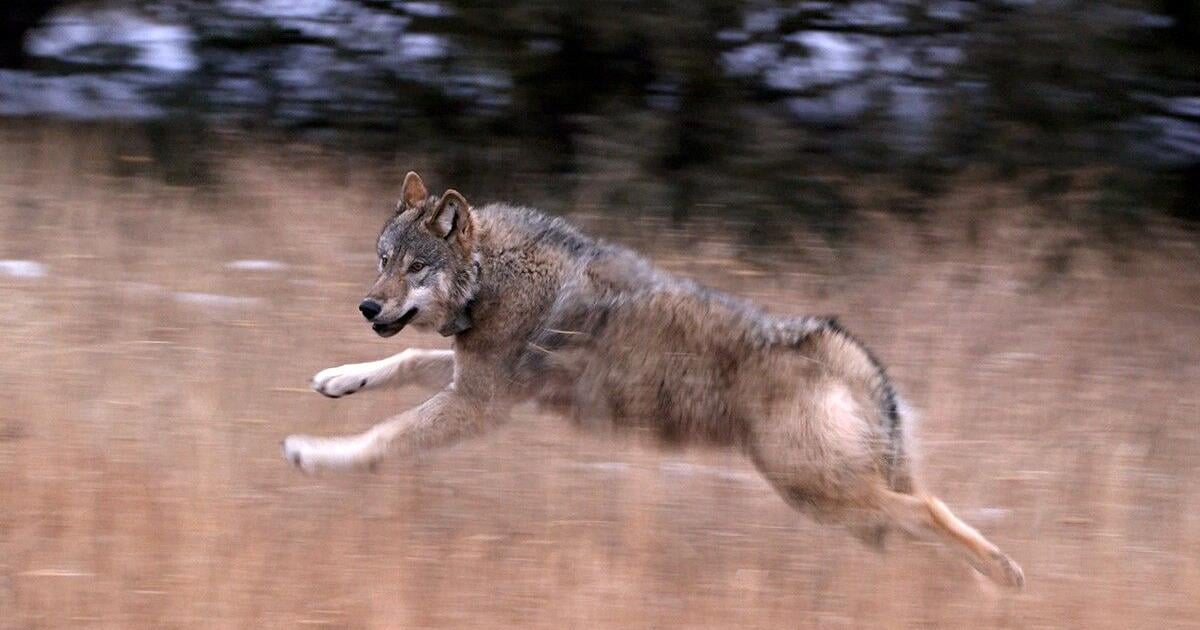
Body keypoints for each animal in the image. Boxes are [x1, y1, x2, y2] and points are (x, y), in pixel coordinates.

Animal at [282, 172, 1024, 588]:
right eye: (383, 260)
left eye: (415, 268)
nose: (367, 307)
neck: (493, 275)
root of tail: (839, 344)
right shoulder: (471, 377)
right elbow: (403, 363)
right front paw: (337, 379)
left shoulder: (479, 403)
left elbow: (384, 438)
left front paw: (314, 455)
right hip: (839, 501)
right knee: (917, 518)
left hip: (817, 492)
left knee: (930, 511)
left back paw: (1004, 577)